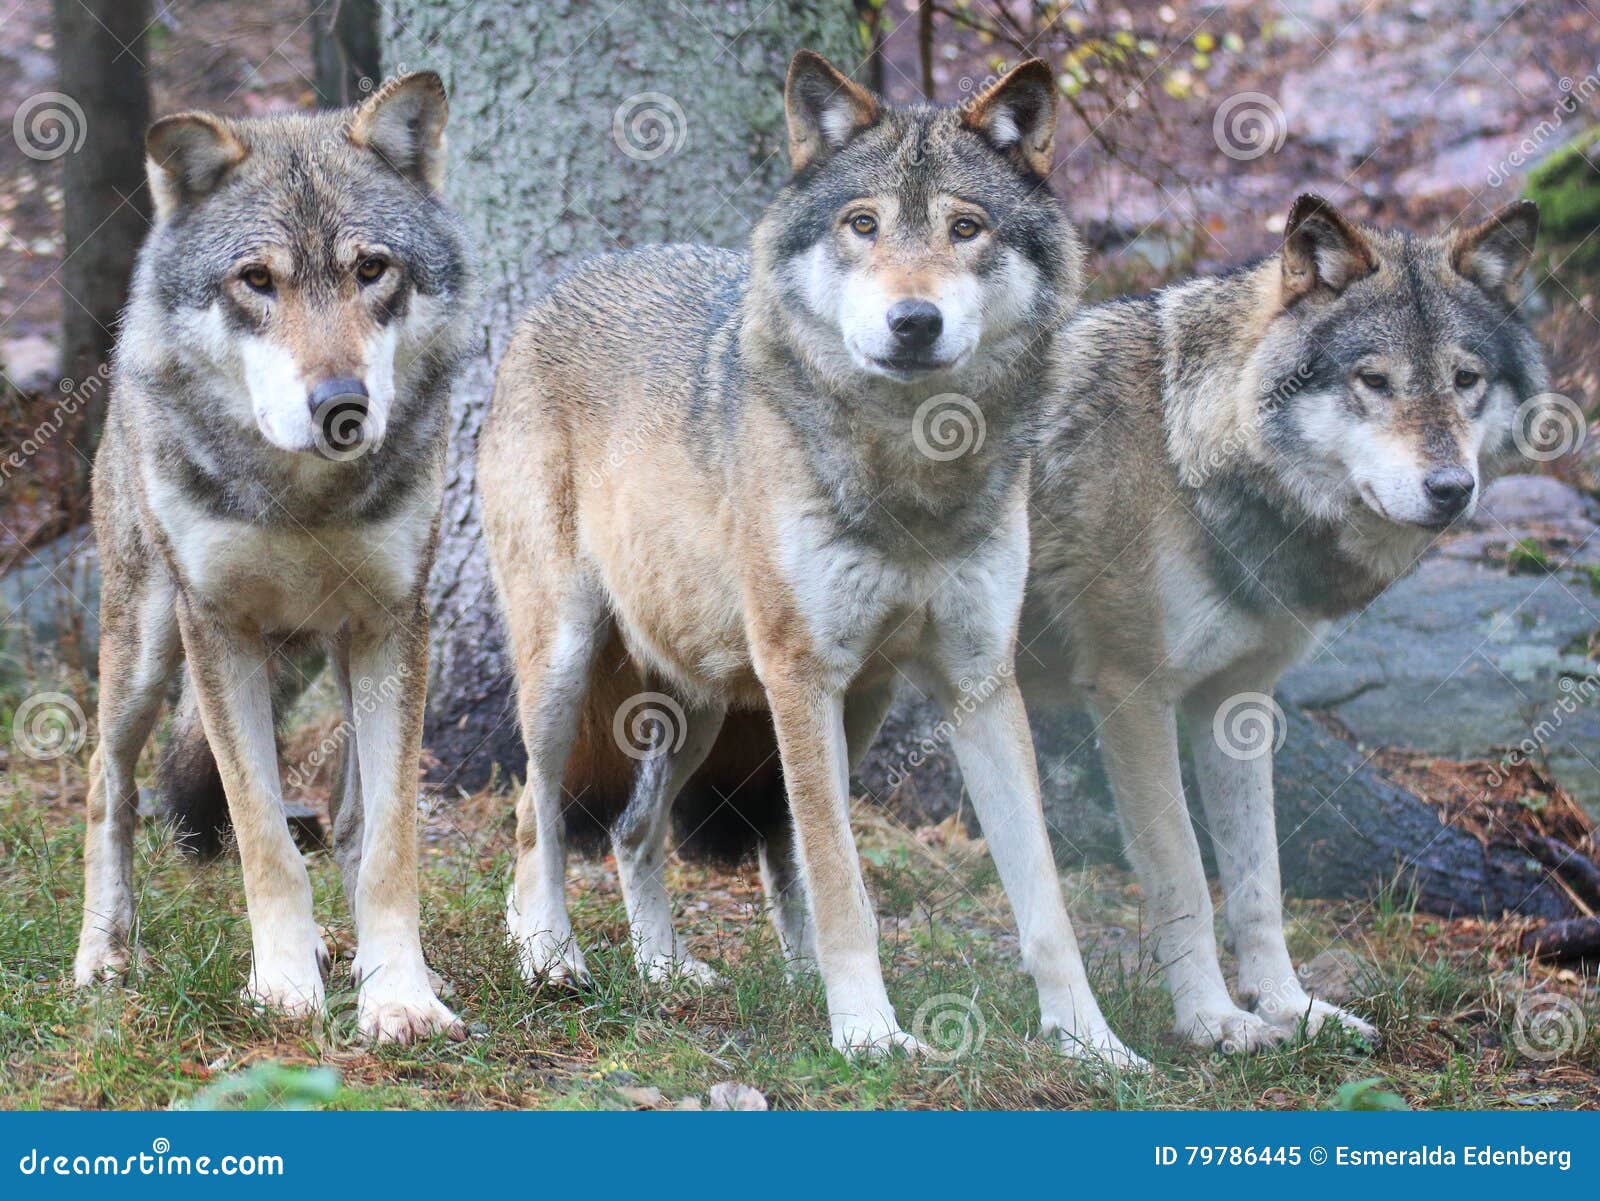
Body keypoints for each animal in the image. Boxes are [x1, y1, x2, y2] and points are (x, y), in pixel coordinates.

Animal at [72, 73, 475, 1043]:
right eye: (257, 280)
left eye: (371, 271)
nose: (342, 405)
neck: (304, 500)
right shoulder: (218, 631)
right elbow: (263, 838)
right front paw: (284, 986)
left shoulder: (392, 626)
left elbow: (389, 843)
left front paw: (401, 996)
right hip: (145, 649)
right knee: (108, 782)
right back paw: (103, 954)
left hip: (330, 657)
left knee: (351, 818)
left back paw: (356, 951)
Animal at [480, 51, 1141, 1064]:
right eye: (862, 224)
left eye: (965, 229)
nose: (914, 321)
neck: (913, 467)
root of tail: (562, 284)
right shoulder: (802, 678)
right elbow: (839, 882)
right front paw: (867, 1032)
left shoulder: (979, 685)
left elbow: (1044, 901)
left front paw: (1093, 1044)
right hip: (567, 667)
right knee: (535, 812)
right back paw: (551, 958)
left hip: (748, 702)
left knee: (637, 829)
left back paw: (671, 969)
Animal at [1018, 194, 1546, 1051]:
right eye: (1375, 381)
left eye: (1465, 380)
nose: (1450, 488)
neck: (1183, 456)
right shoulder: (1132, 695)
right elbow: (1183, 876)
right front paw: (1213, 1021)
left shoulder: (1237, 699)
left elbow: (1259, 883)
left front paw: (1291, 1009)